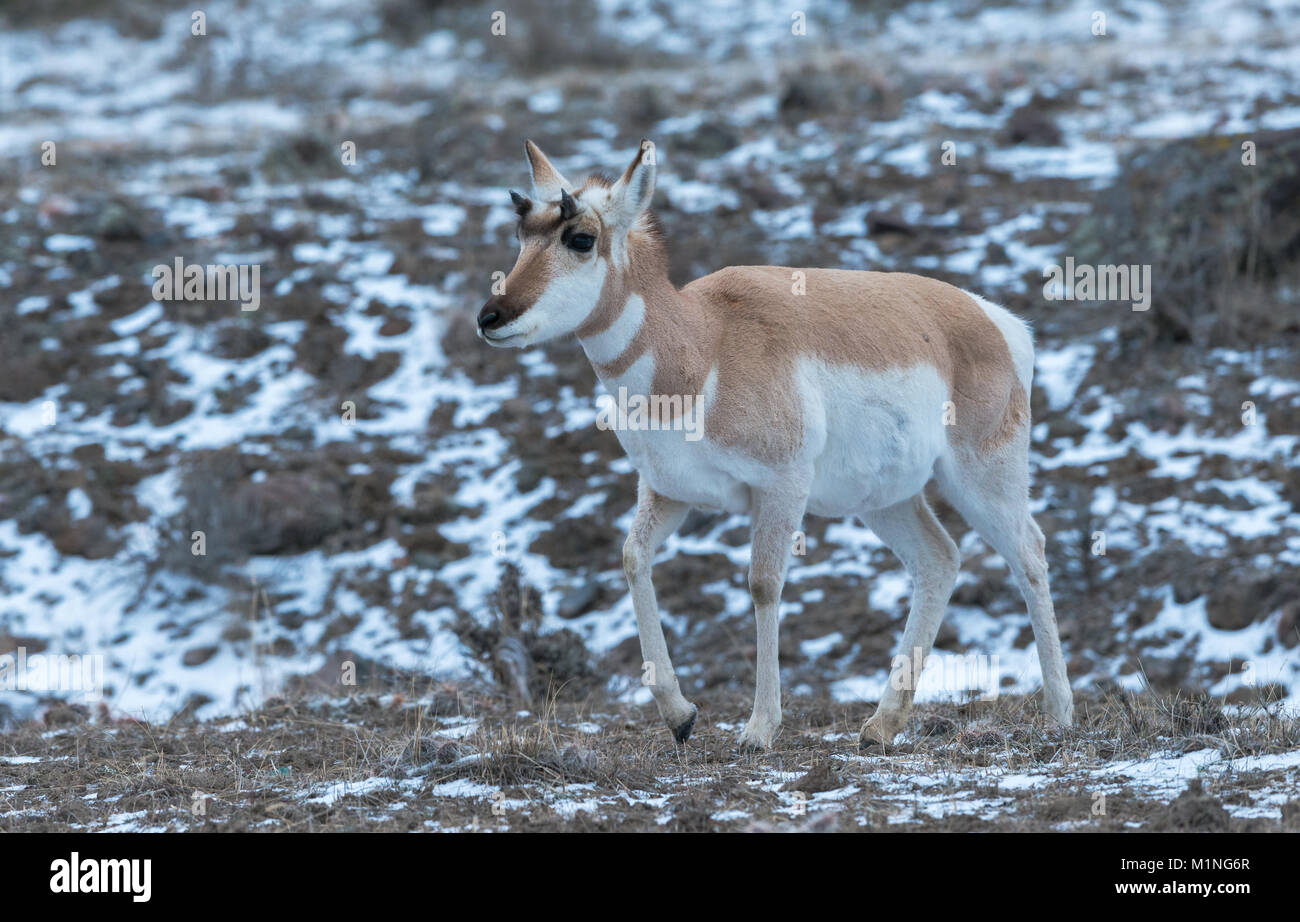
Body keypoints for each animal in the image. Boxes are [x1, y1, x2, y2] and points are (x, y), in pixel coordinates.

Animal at [478, 139, 1073, 751]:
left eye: (580, 238)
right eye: (522, 233)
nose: (490, 317)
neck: (703, 345)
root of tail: (997, 321)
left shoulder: (781, 487)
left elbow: (762, 585)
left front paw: (759, 728)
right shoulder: (670, 493)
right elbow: (632, 558)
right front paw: (680, 714)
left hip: (981, 480)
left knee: (1029, 553)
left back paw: (1058, 713)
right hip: (885, 500)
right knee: (940, 560)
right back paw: (881, 724)